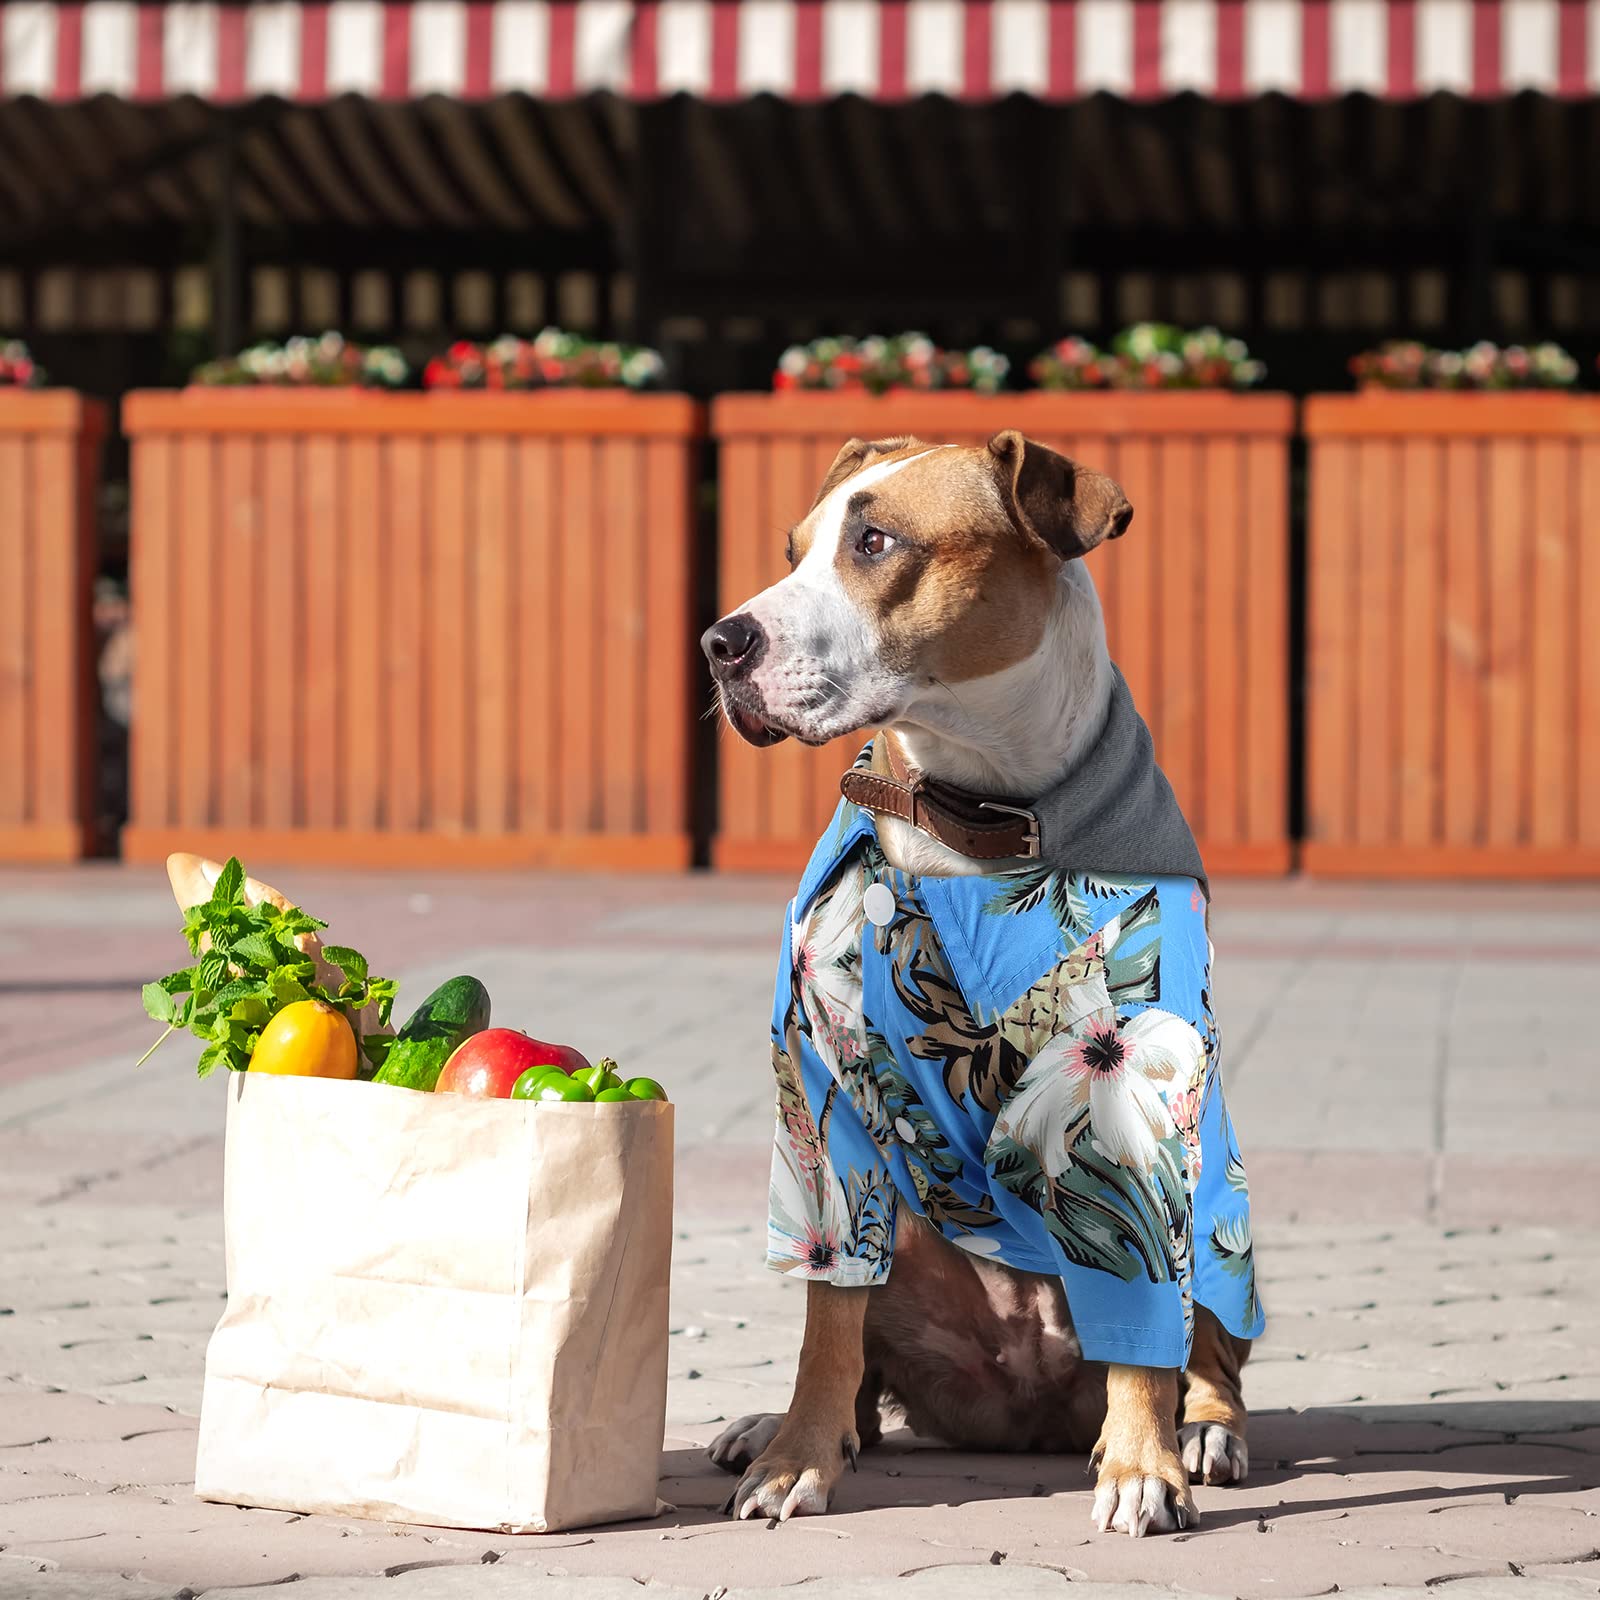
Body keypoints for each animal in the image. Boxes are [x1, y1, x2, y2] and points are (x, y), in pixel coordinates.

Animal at [700, 432, 1260, 1529]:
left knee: (1206, 1345)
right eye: (793, 549)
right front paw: (792, 1459)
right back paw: (785, 1425)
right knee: (860, 1354)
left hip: (1224, 1209)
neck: (971, 815)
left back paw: (1203, 1431)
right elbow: (826, 1320)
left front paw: (1144, 1468)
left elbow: (1145, 1309)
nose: (719, 643)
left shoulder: (1138, 1091)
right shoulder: (821, 1102)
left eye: (876, 541)